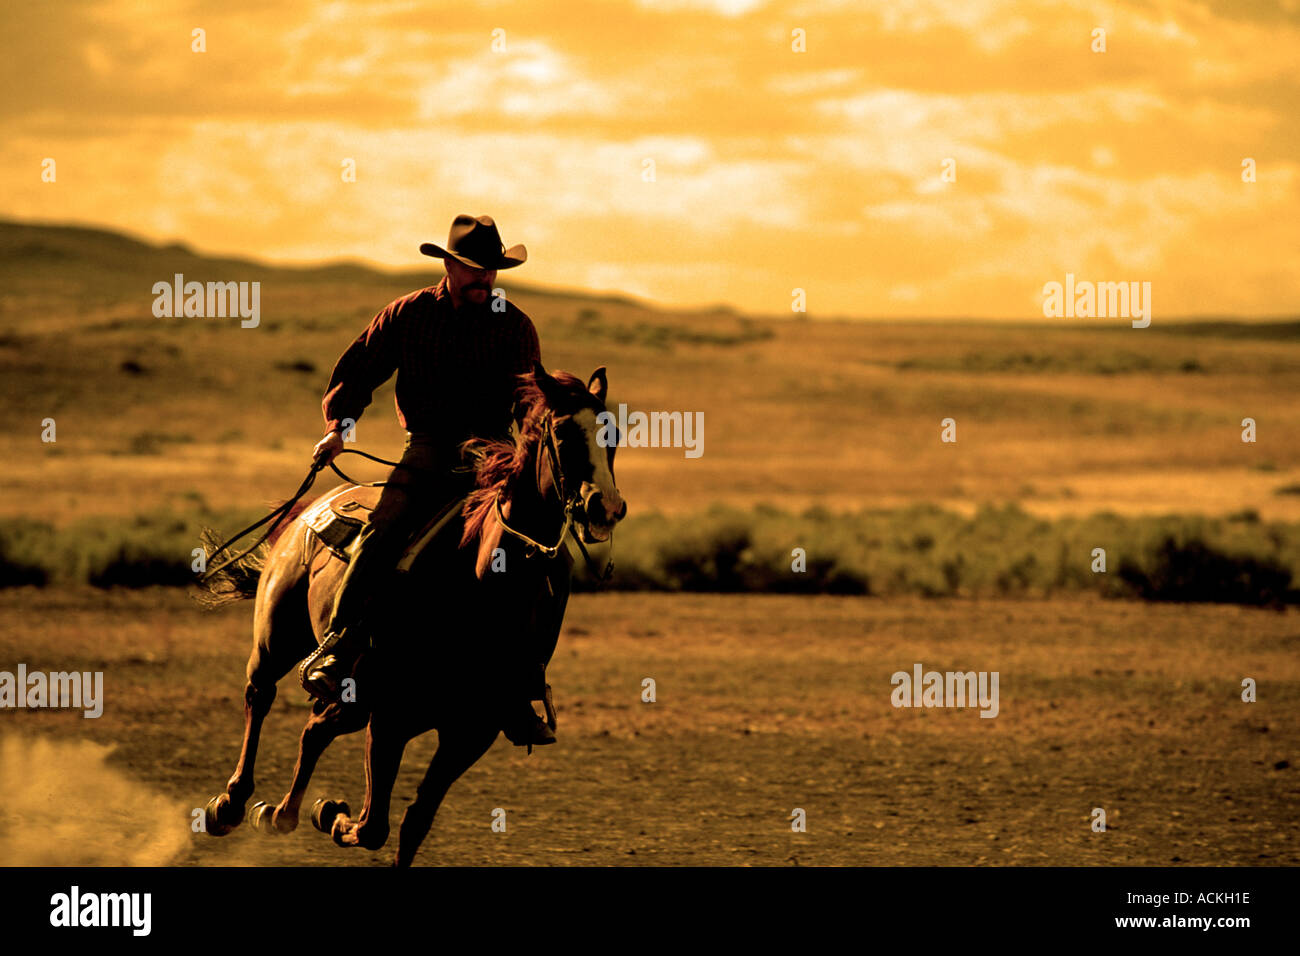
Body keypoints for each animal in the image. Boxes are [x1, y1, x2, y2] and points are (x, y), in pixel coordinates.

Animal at [196, 366, 626, 866]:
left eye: (613, 434)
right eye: (562, 432)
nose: (606, 507)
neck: (480, 588)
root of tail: (313, 506)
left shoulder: (470, 730)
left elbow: (412, 824)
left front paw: (328, 811)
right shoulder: (389, 717)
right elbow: (373, 826)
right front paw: (331, 814)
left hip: (352, 698)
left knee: (315, 729)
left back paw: (282, 813)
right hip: (277, 641)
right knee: (259, 696)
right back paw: (231, 805)